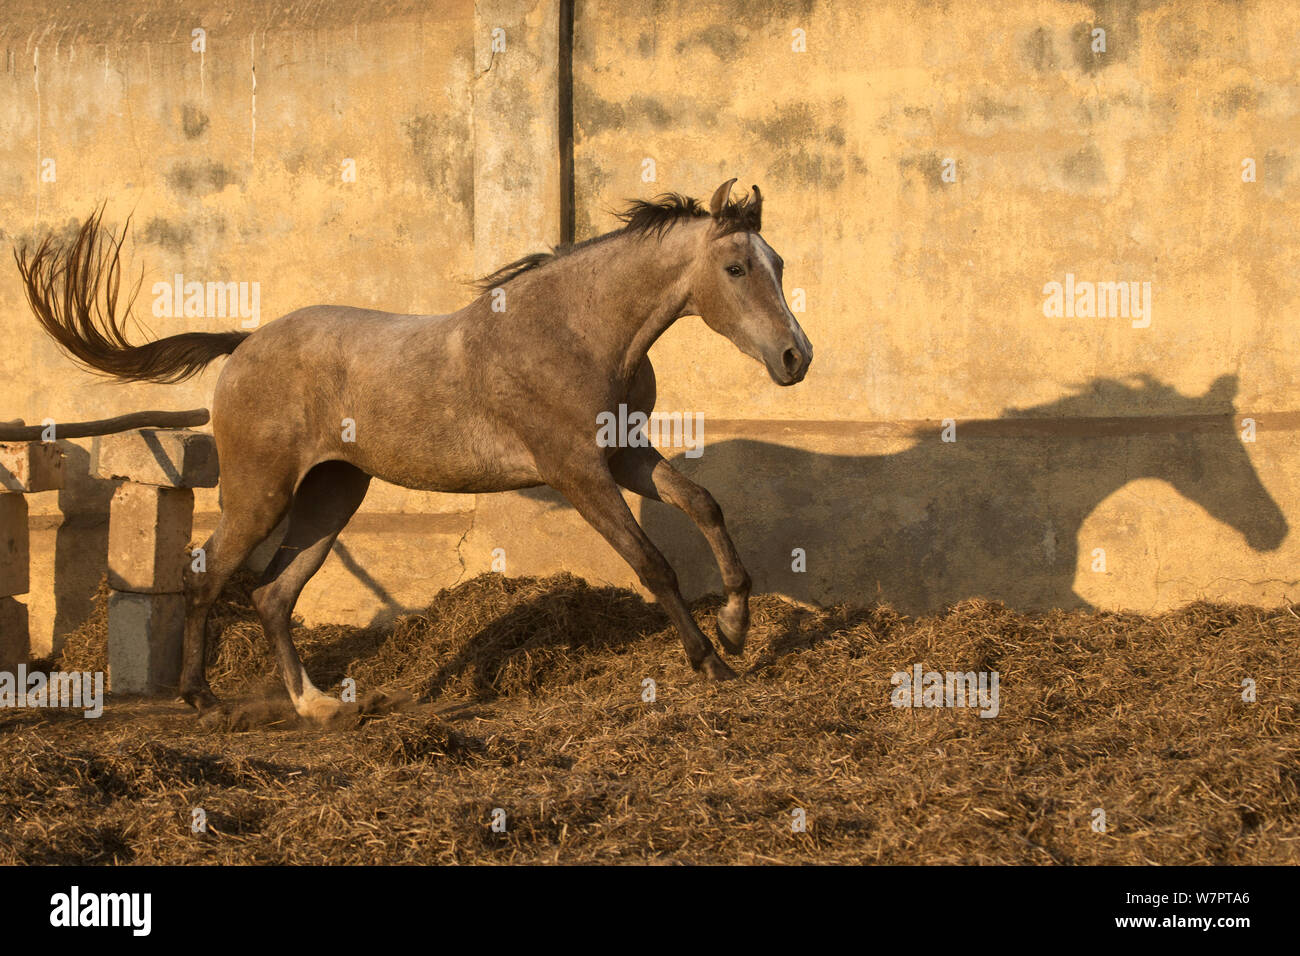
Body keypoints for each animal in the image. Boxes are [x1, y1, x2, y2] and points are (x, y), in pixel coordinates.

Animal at [15, 180, 813, 720]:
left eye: (778, 260)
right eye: (737, 269)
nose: (795, 357)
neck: (575, 330)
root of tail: (243, 344)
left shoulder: (623, 456)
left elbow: (704, 504)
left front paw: (737, 628)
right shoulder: (578, 471)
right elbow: (651, 563)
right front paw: (712, 663)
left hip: (333, 491)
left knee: (274, 593)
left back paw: (319, 707)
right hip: (261, 493)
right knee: (207, 575)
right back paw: (202, 698)